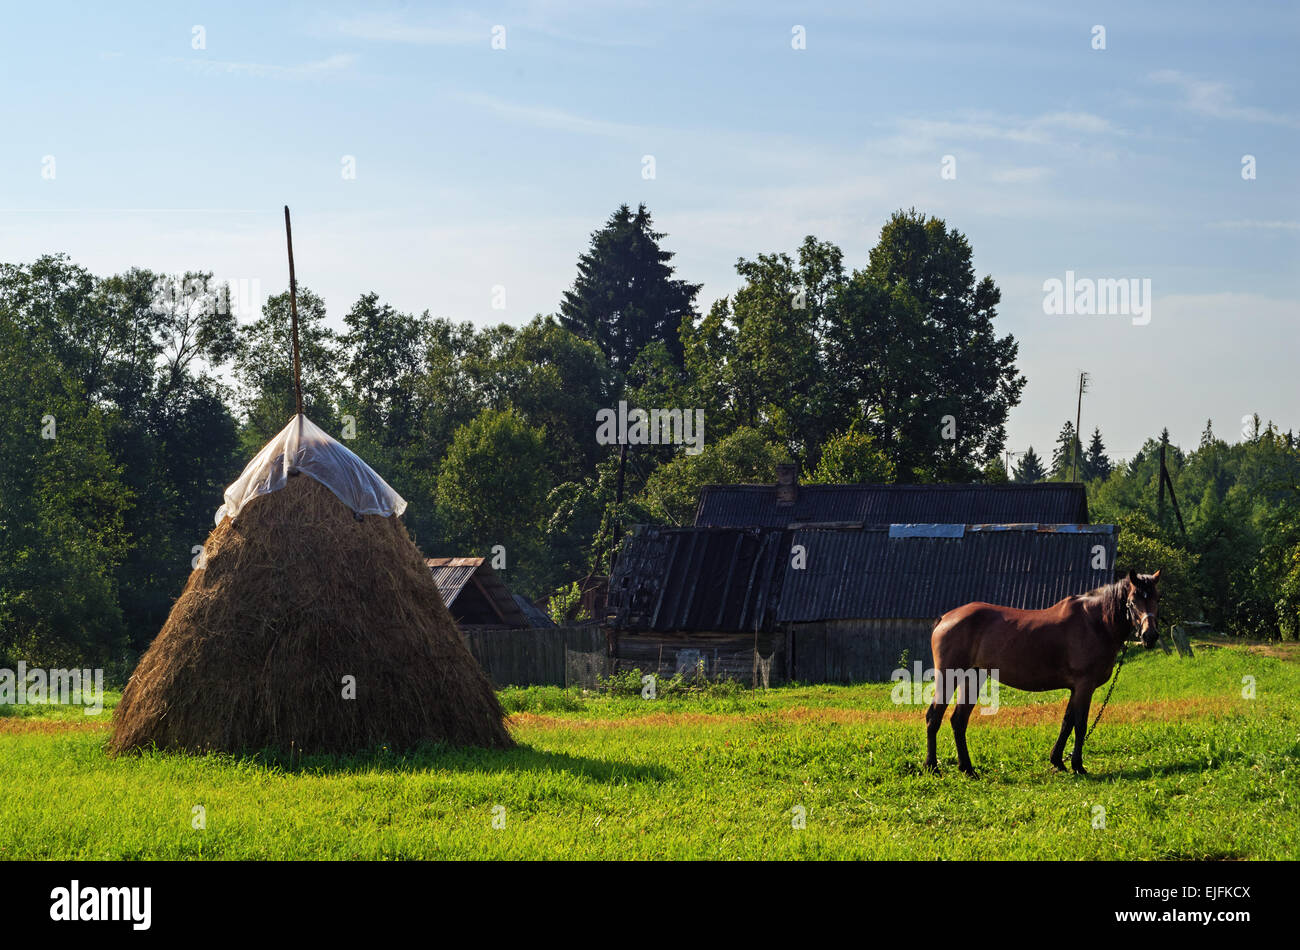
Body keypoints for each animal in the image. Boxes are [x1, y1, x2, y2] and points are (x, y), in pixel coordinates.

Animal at [924, 569, 1162, 777]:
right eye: (1132, 601)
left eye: (1157, 599)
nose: (1149, 636)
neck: (1095, 623)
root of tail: (946, 617)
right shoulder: (1085, 685)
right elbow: (1080, 725)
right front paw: (1078, 765)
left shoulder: (1075, 688)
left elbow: (1067, 723)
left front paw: (1058, 761)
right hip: (949, 677)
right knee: (934, 716)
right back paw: (932, 767)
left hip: (973, 678)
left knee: (959, 721)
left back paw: (968, 769)